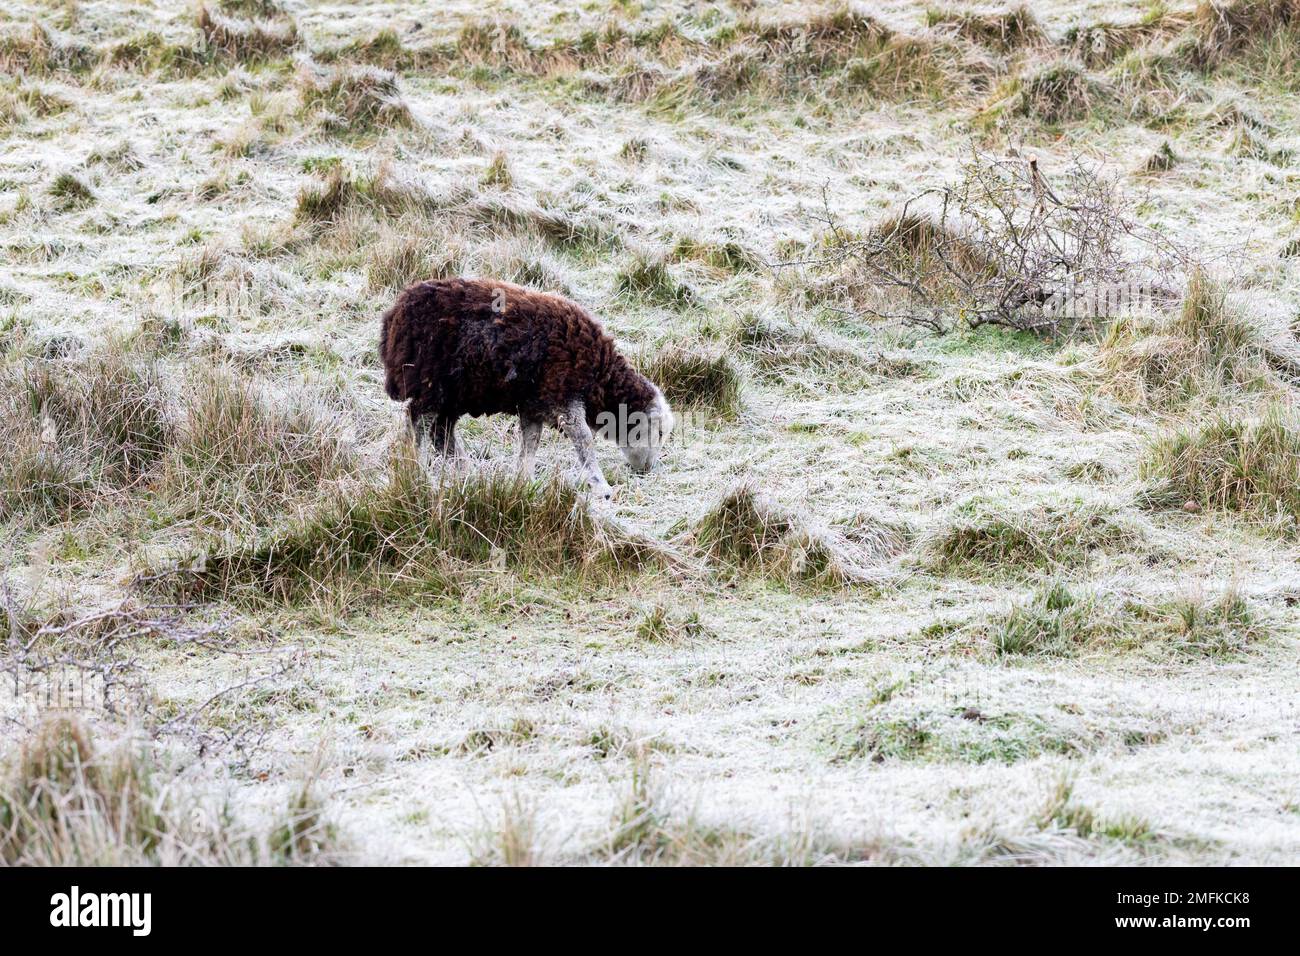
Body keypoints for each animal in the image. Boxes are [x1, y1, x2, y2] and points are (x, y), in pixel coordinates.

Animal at [379, 278, 673, 500]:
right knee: (419, 424)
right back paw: (420, 476)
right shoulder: (563, 394)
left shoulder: (535, 405)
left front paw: (523, 482)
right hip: (431, 383)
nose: (648, 469)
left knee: (442, 432)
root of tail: (394, 317)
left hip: (454, 394)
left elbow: (531, 442)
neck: (599, 375)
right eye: (658, 432)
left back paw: (466, 473)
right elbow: (583, 439)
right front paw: (601, 487)